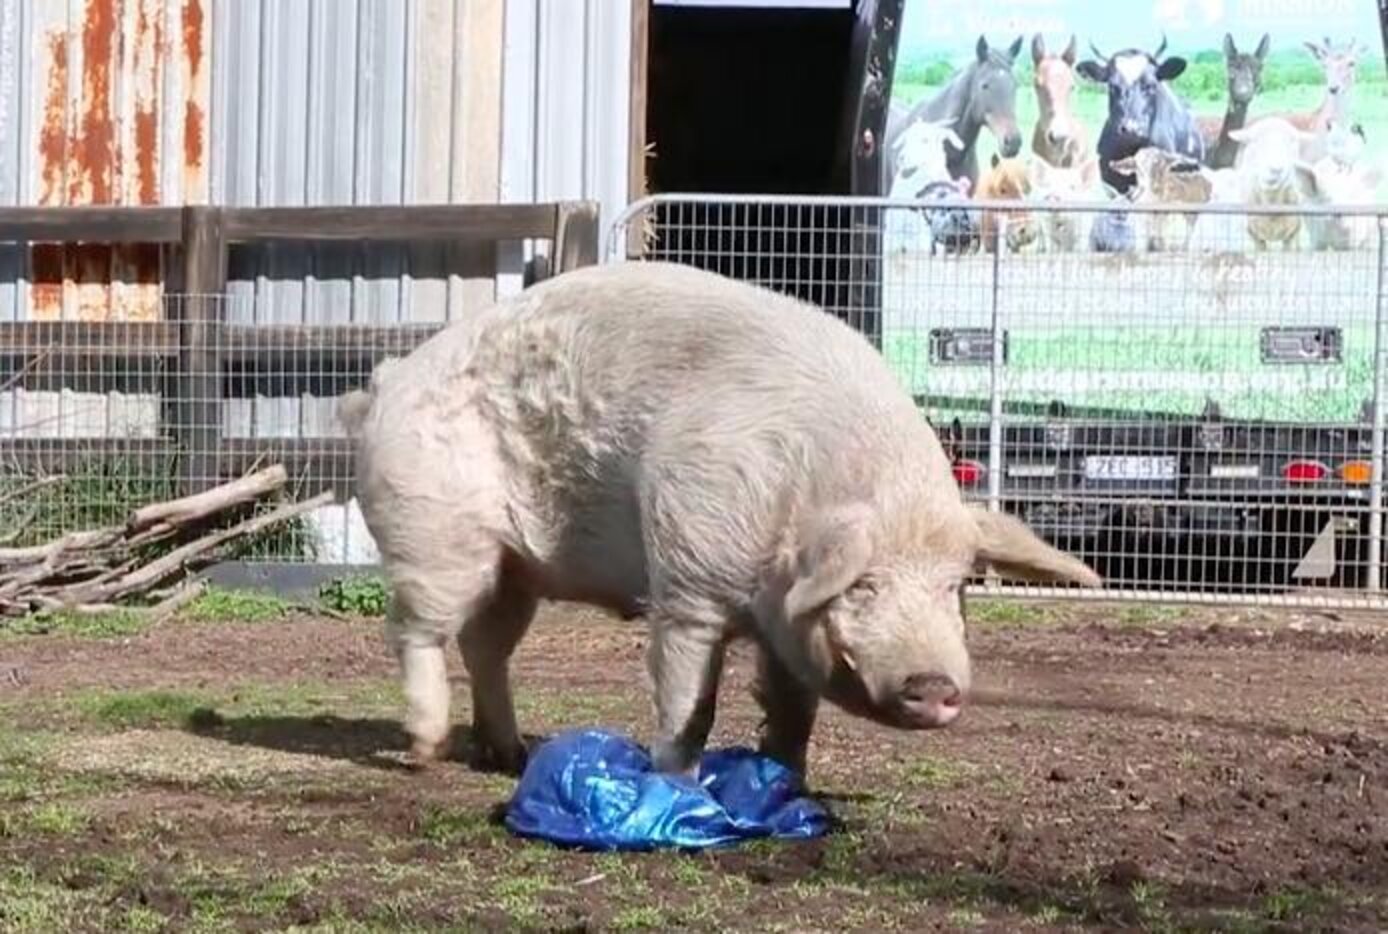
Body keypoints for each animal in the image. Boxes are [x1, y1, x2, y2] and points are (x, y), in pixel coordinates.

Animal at [338, 261, 1101, 781]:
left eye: (955, 586)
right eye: (863, 585)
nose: (934, 686)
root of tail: (387, 382)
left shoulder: (780, 628)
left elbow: (794, 712)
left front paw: (787, 784)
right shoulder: (687, 578)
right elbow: (690, 702)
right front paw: (677, 781)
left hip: (514, 567)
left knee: (485, 645)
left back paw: (511, 755)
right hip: (433, 532)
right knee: (416, 630)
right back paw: (423, 751)